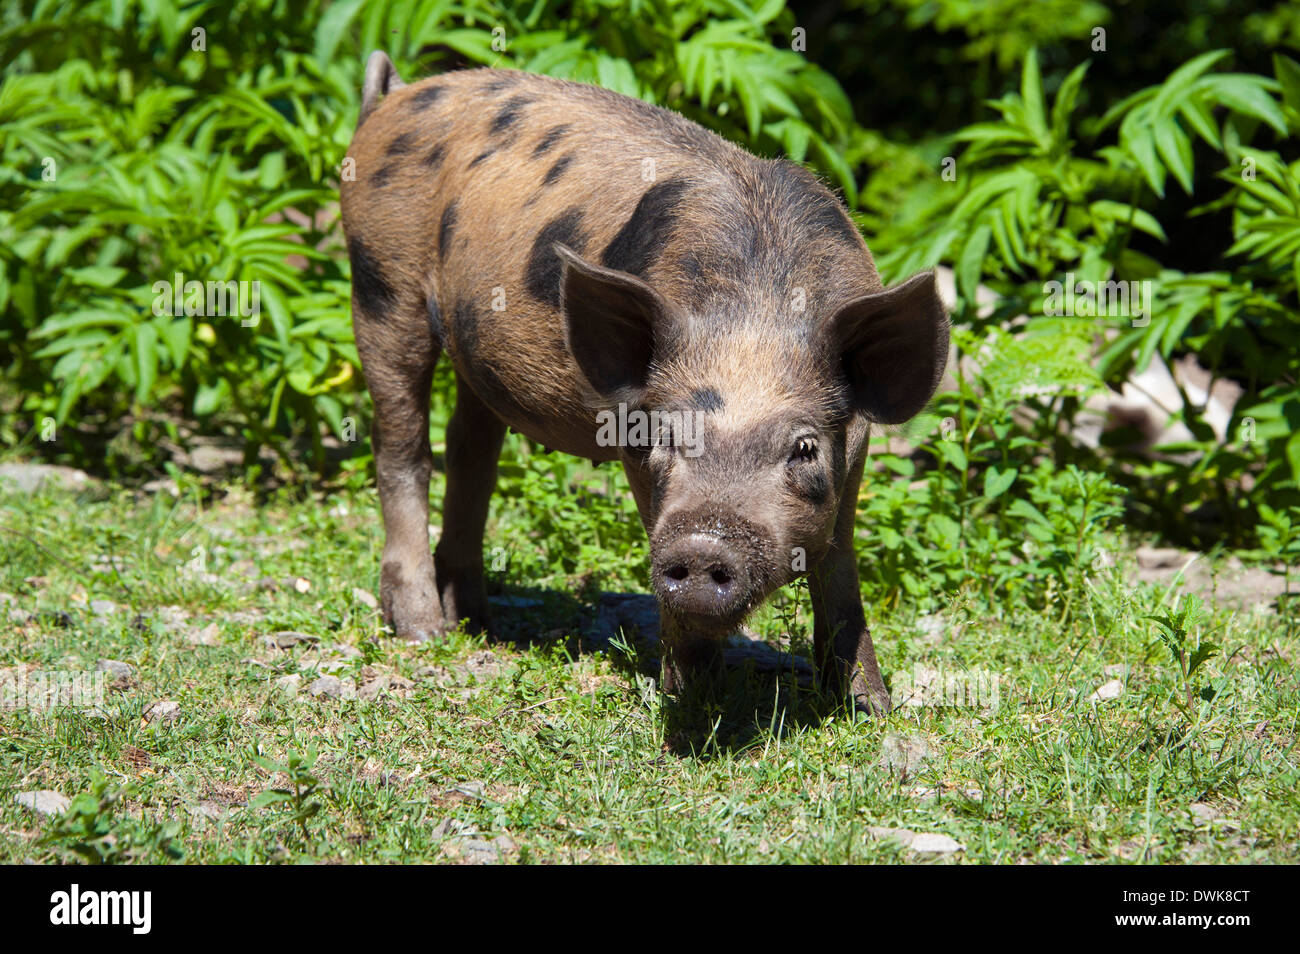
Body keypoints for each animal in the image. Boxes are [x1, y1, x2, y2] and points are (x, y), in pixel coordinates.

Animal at [340, 52, 949, 715]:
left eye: (805, 447)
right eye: (667, 439)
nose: (705, 545)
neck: (753, 320)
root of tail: (394, 97)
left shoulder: (856, 450)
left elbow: (839, 566)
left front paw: (871, 708)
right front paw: (694, 698)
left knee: (471, 449)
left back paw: (479, 623)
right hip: (379, 281)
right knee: (403, 447)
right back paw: (425, 631)